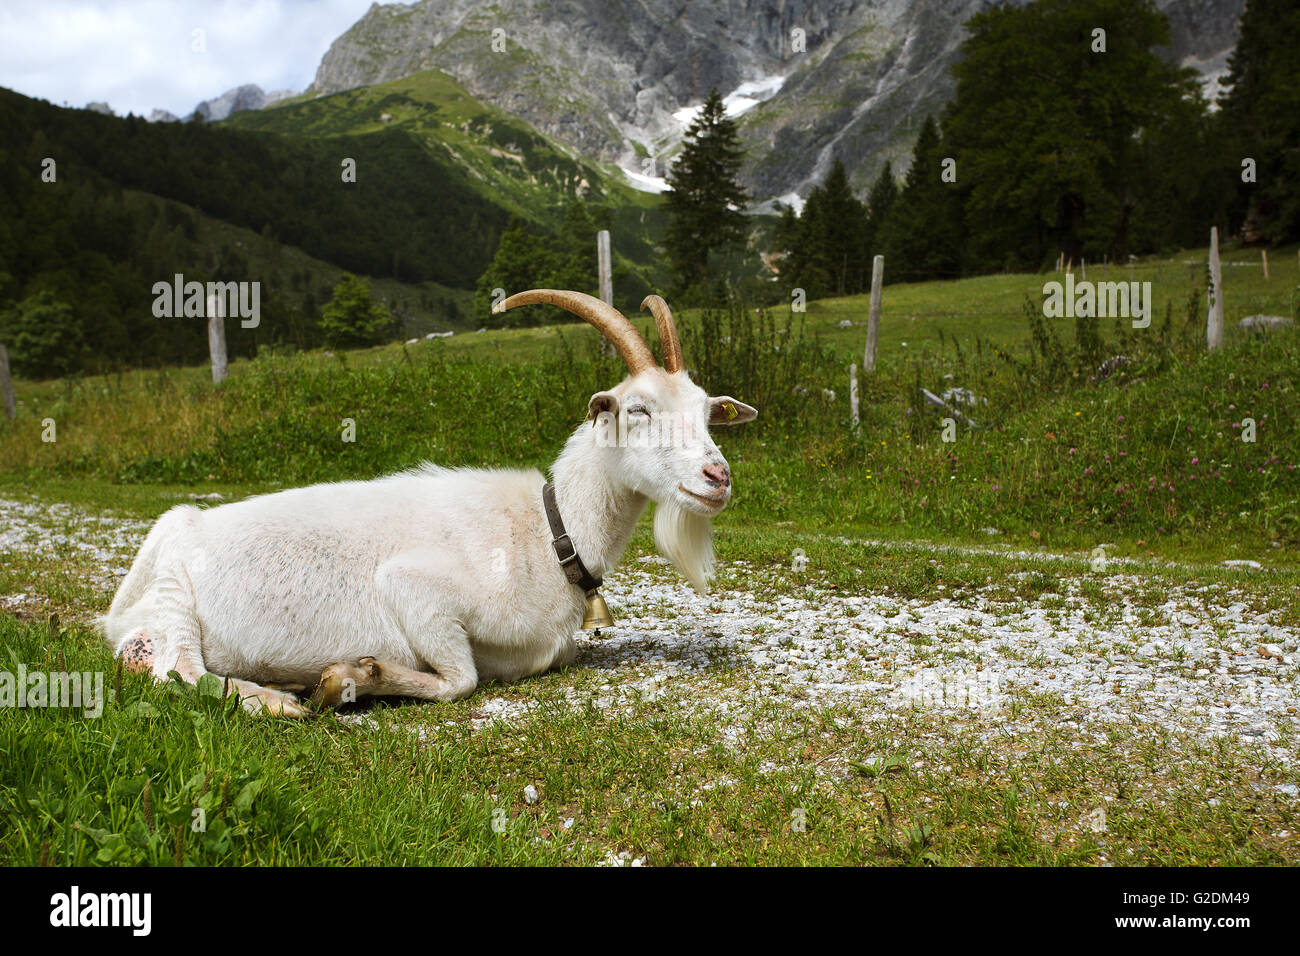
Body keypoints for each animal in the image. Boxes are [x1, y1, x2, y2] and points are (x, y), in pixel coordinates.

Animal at [102, 291, 757, 716]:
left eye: (707, 411)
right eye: (637, 409)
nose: (717, 476)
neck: (548, 531)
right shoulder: (415, 587)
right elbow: (460, 679)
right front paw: (350, 676)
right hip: (175, 602)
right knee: (178, 671)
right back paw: (276, 701)